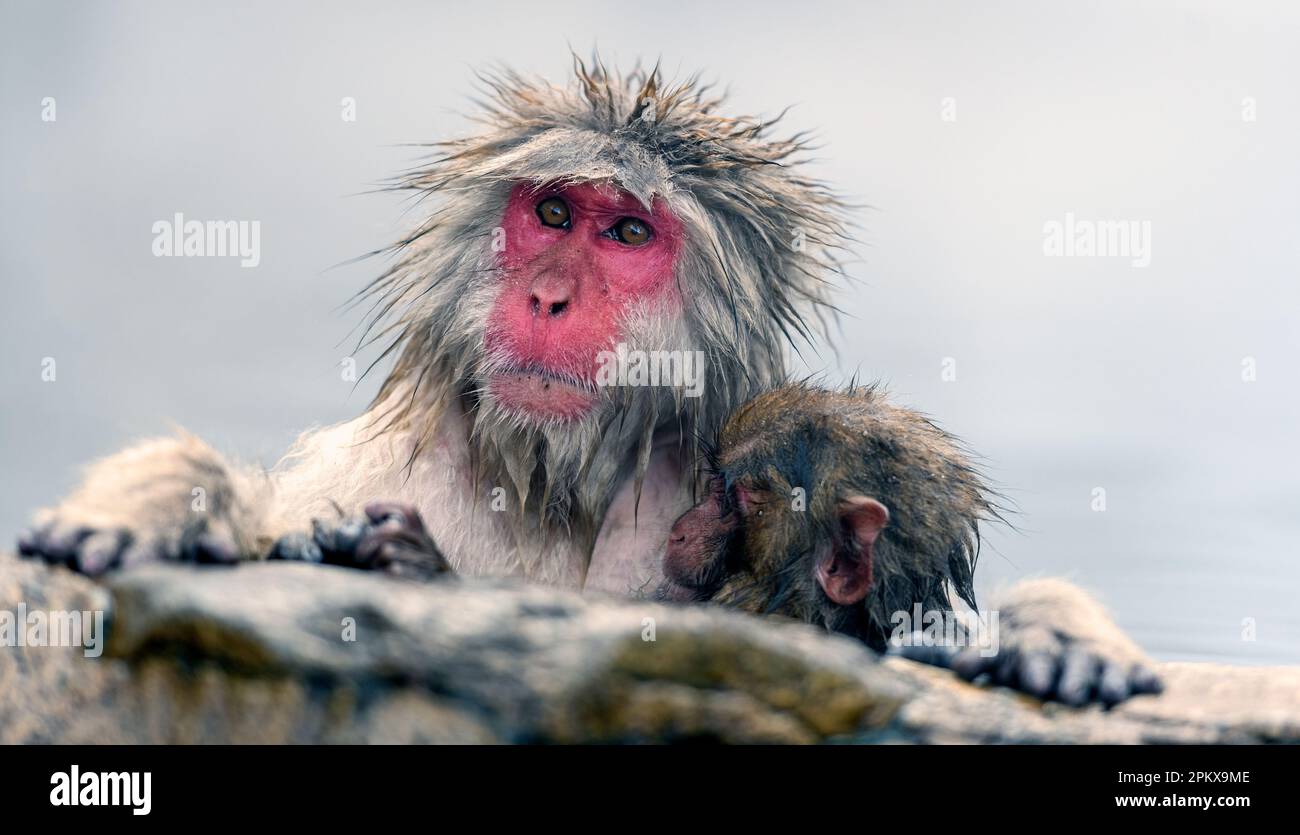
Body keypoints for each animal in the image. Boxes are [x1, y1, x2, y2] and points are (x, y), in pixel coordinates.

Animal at [17, 57, 848, 597]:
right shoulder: (366, 472)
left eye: (629, 233)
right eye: (554, 212)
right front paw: (162, 504)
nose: (549, 297)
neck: (550, 489)